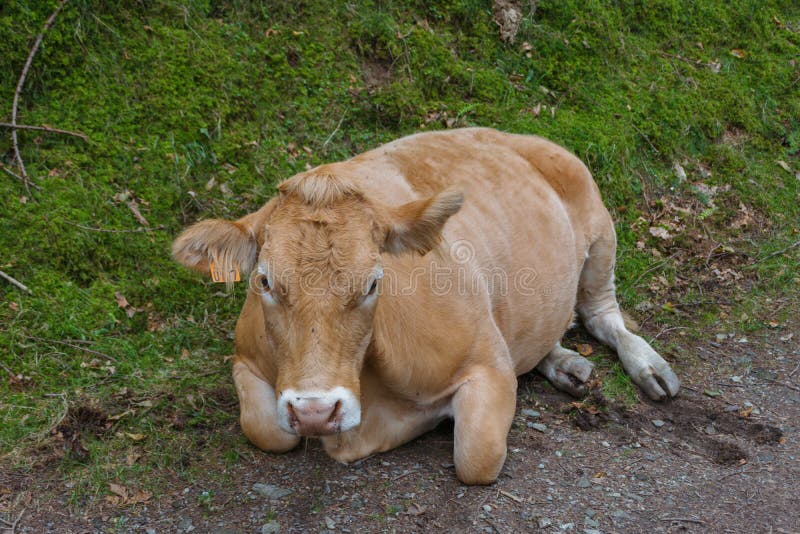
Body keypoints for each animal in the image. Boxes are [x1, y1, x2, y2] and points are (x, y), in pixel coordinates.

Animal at [172, 128, 680, 484]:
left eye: (373, 282)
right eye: (264, 281)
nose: (316, 412)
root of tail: (516, 136)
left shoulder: (487, 364)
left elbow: (476, 456)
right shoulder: (245, 358)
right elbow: (266, 428)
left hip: (600, 231)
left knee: (601, 314)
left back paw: (648, 367)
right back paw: (564, 364)